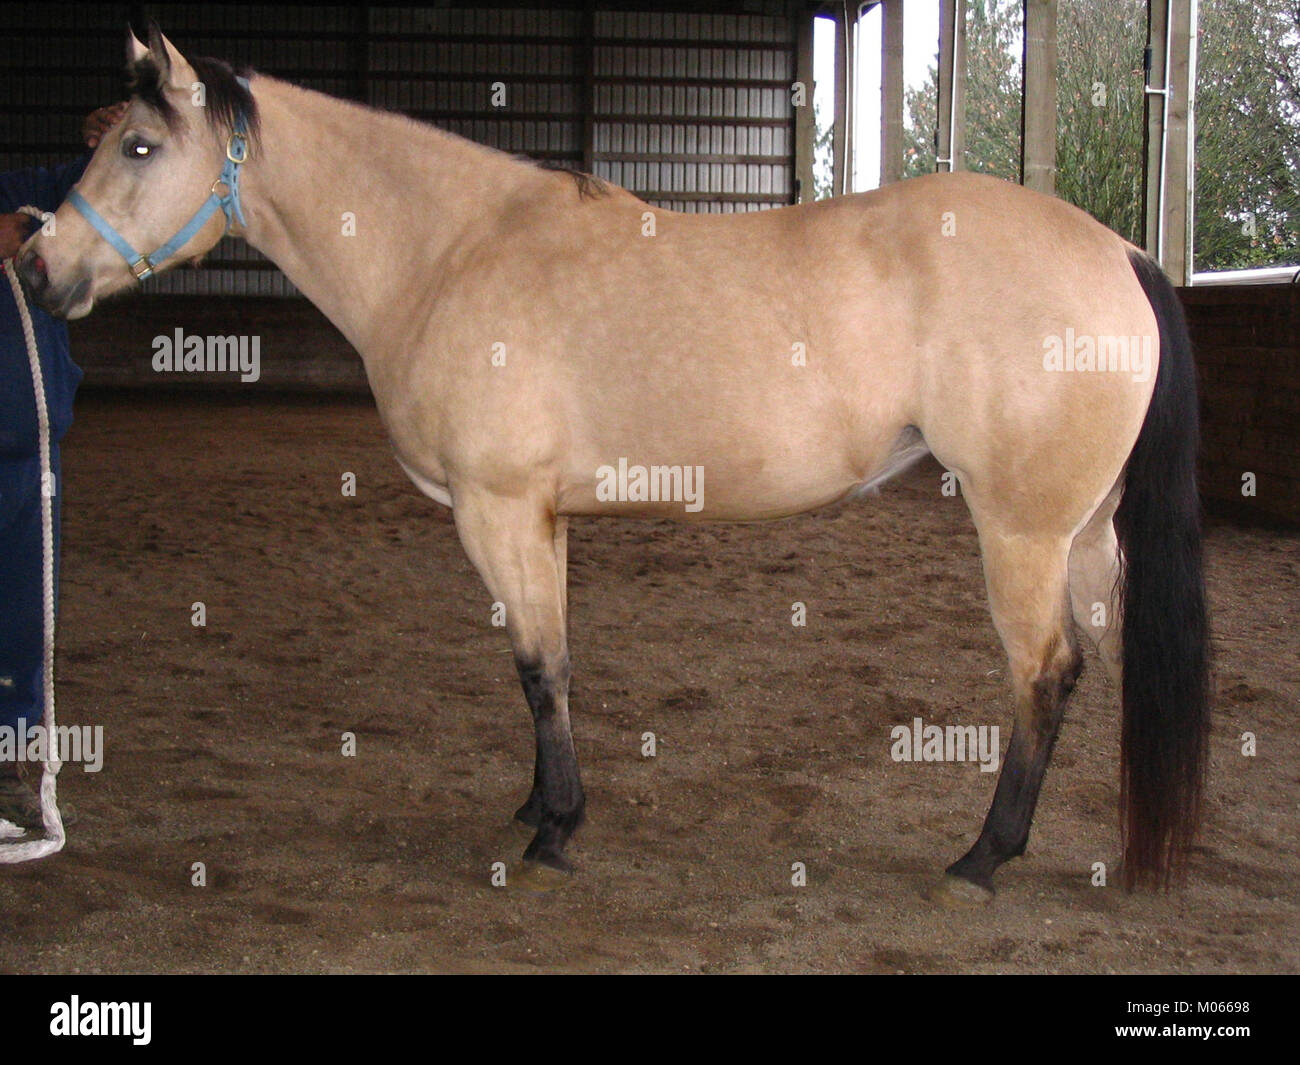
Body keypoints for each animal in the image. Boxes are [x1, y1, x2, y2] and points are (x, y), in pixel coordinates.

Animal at [18, 27, 1210, 904]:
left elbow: (539, 668)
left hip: (1021, 528)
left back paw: (981, 857)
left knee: (1042, 674)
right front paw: (537, 803)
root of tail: (1117, 250)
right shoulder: (539, 519)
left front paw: (553, 833)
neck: (450, 251)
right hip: (1080, 531)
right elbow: (551, 661)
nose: (34, 265)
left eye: (135, 147)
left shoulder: (497, 510)